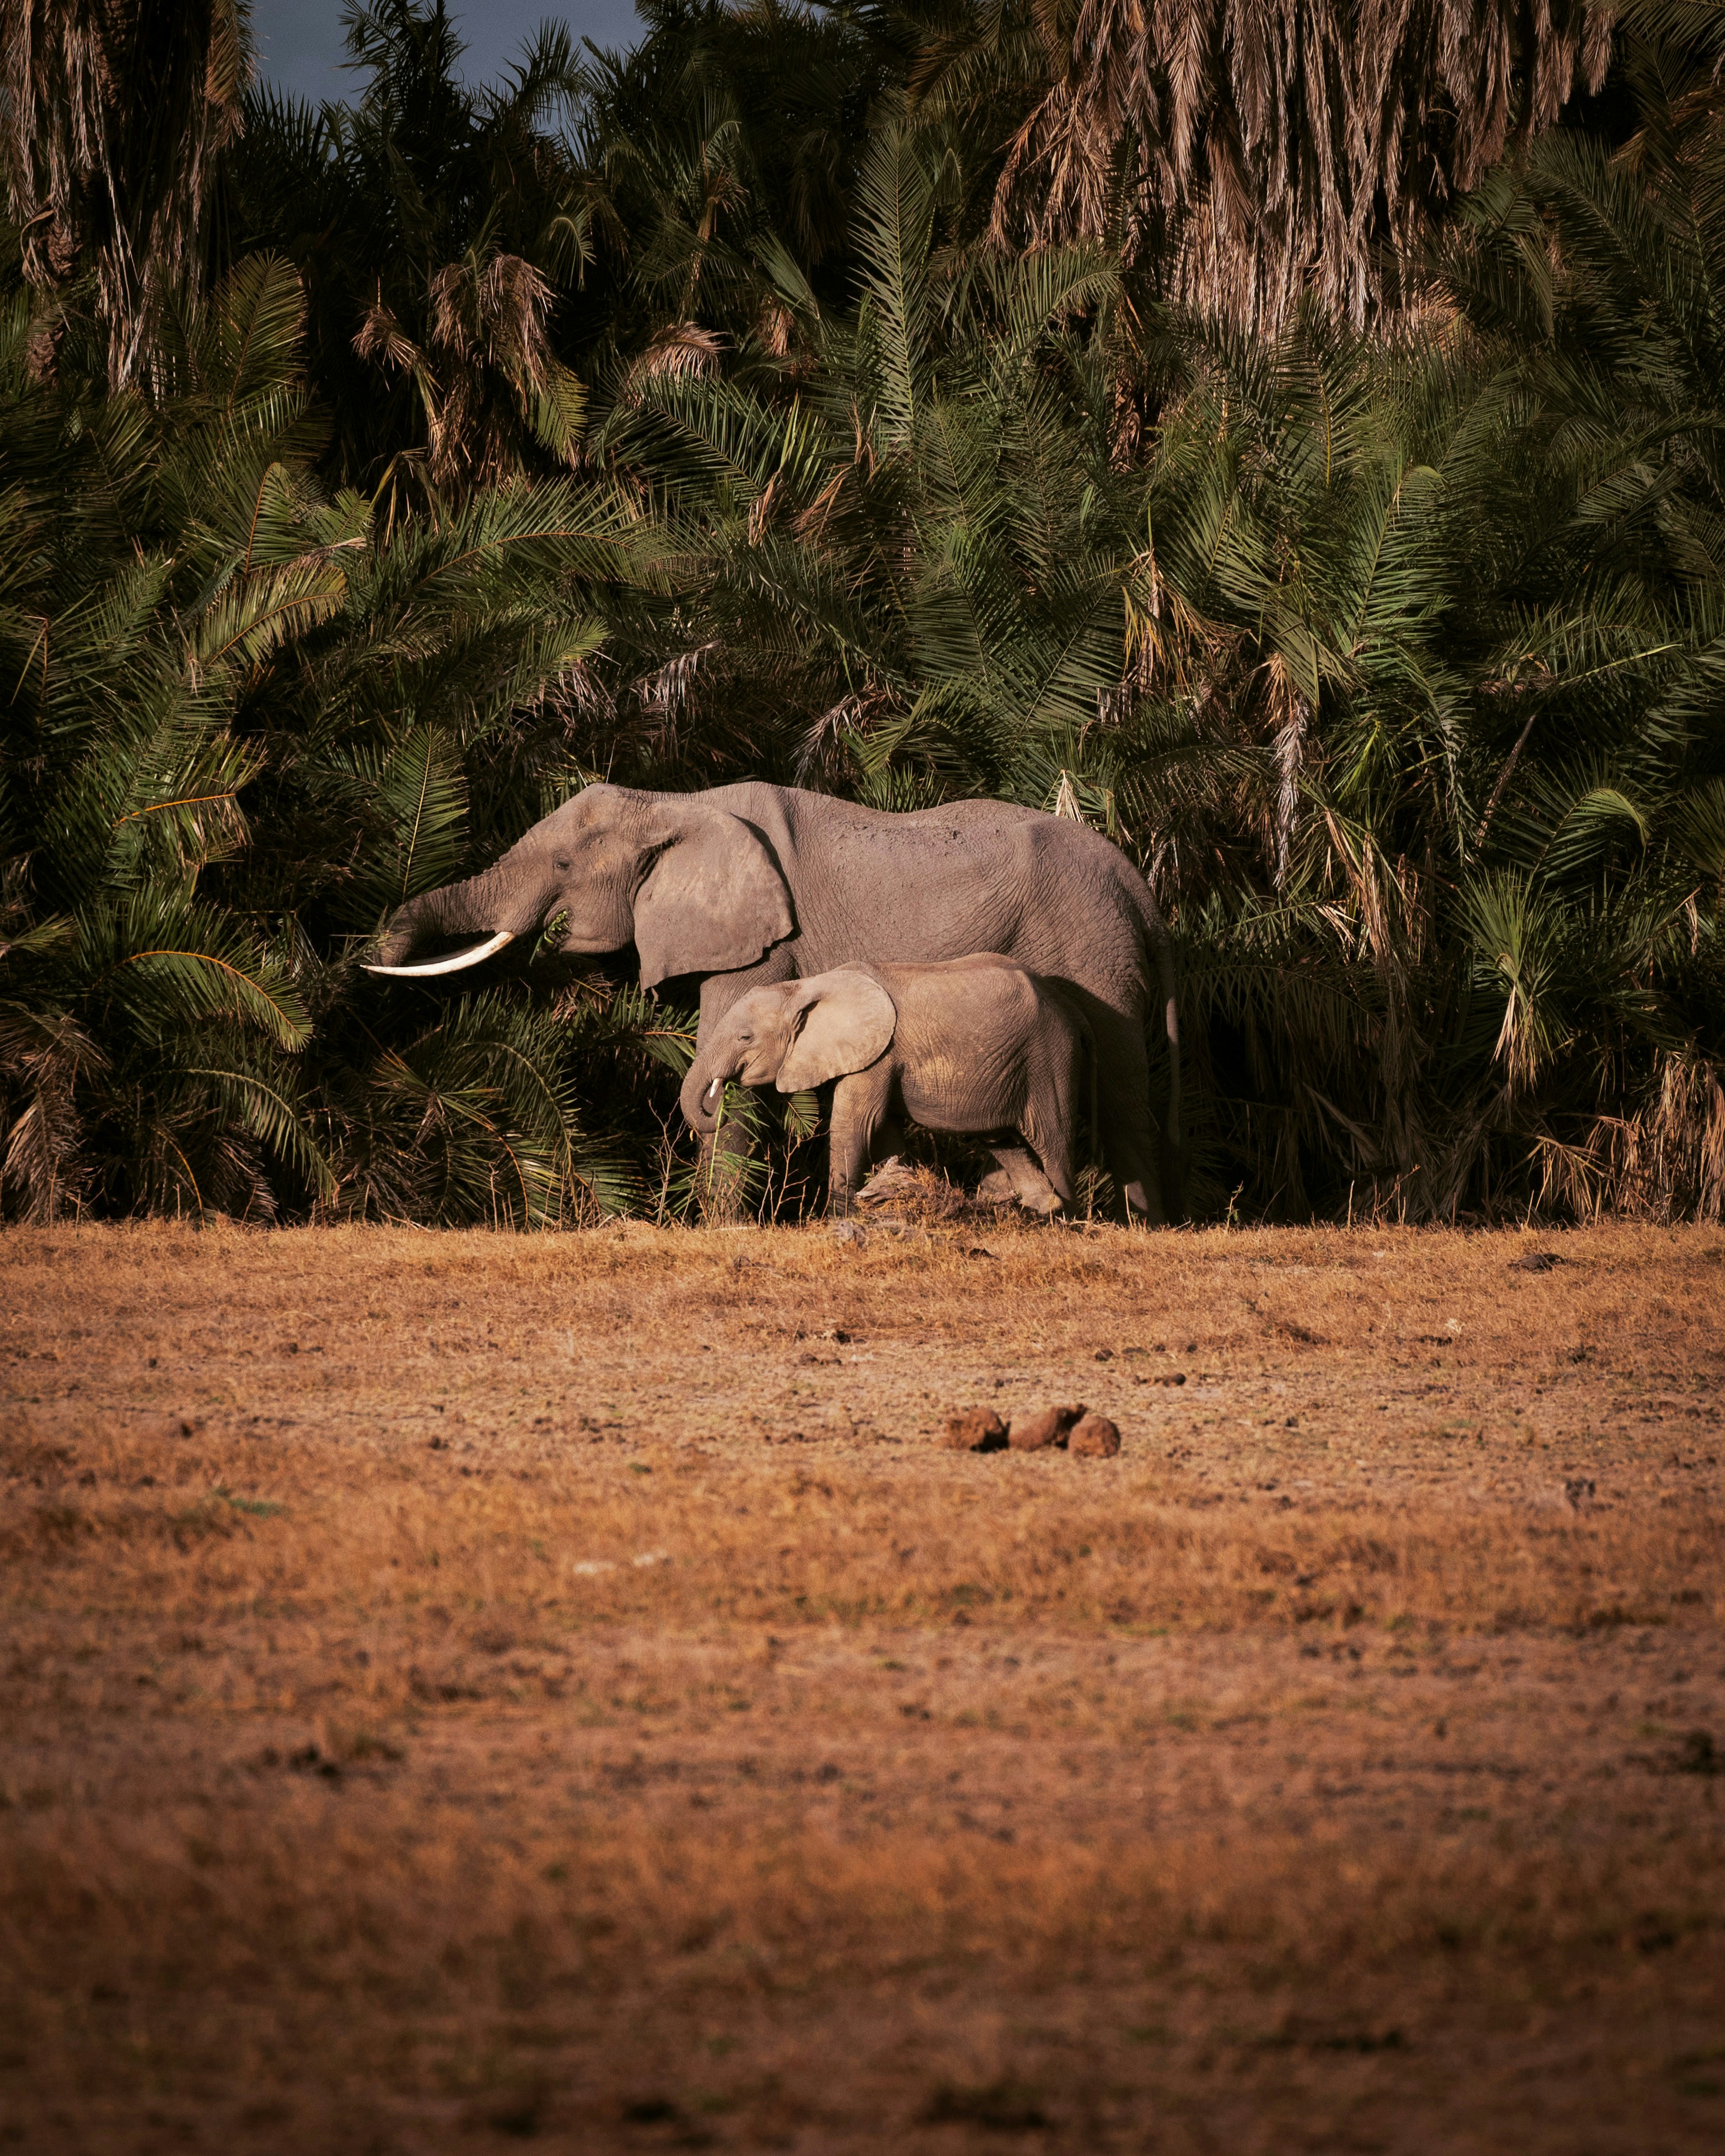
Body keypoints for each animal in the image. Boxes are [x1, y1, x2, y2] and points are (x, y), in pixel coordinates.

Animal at [682, 956, 1089, 1215]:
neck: (806, 987)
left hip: (1051, 1054)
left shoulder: (880, 1052)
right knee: (1001, 1139)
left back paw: (1064, 1221)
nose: (718, 1105)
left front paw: (841, 1220)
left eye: (745, 1037)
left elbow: (857, 1124)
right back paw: (1038, 1208)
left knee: (1053, 1142)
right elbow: (883, 1132)